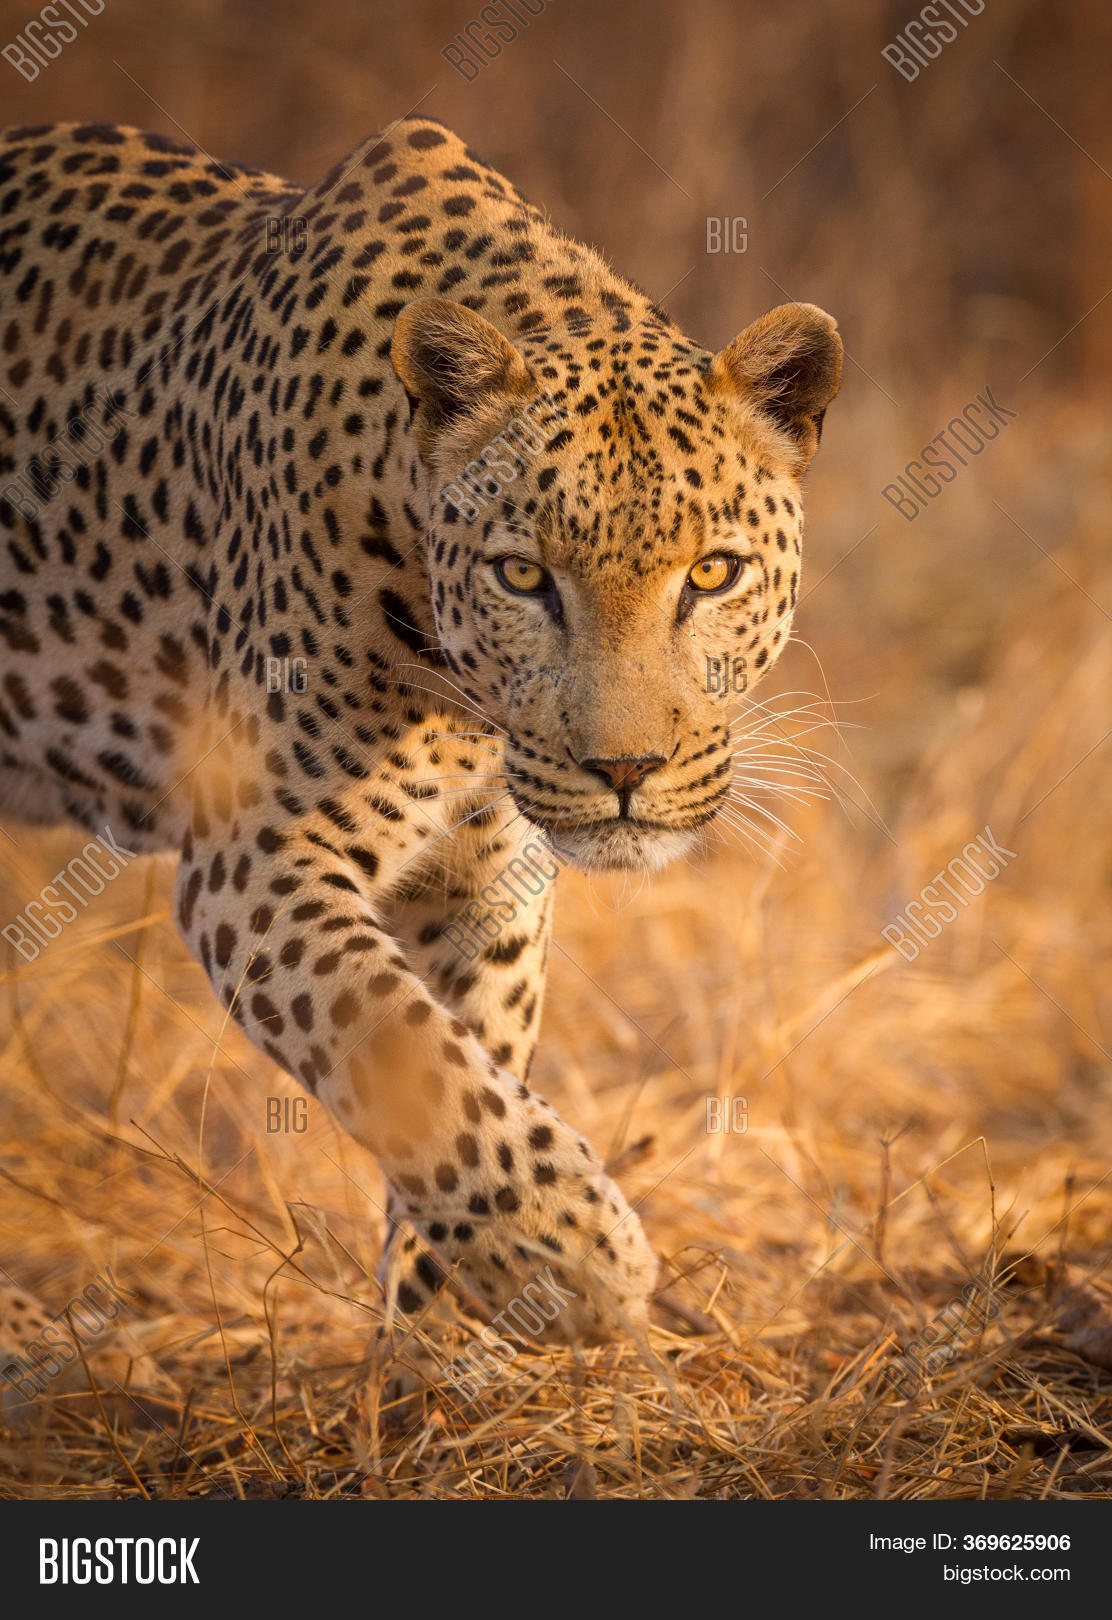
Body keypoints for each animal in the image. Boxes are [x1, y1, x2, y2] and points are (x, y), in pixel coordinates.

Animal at [0, 114, 841, 1387]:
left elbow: (464, 1062)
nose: (625, 774)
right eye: (522, 576)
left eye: (711, 572)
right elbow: (397, 1044)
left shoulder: (486, 876)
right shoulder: (256, 856)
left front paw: (439, 1356)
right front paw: (578, 1259)